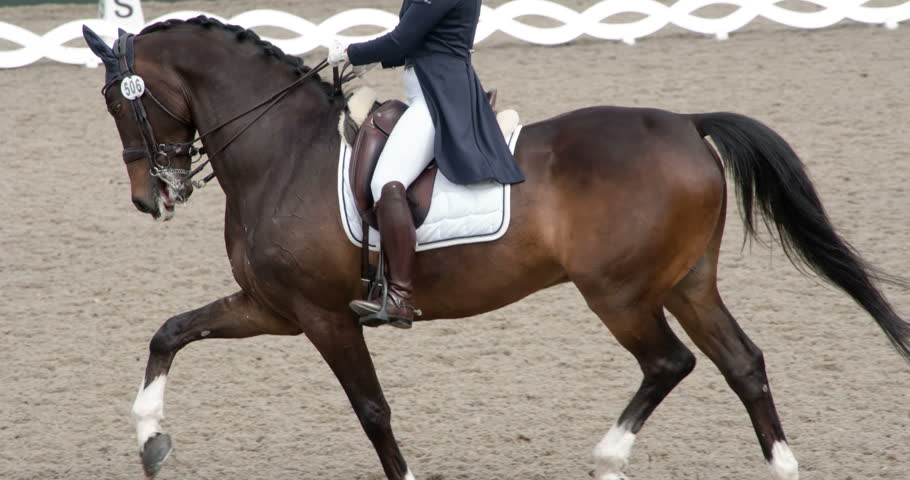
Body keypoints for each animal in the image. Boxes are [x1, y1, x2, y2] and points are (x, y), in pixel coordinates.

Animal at [82, 17, 910, 480]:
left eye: (119, 99)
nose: (150, 196)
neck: (284, 149)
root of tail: (685, 122)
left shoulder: (324, 316)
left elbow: (371, 408)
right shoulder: (273, 307)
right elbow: (169, 333)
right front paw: (151, 441)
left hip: (619, 292)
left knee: (669, 364)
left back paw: (609, 462)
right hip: (686, 282)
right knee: (743, 363)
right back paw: (783, 466)